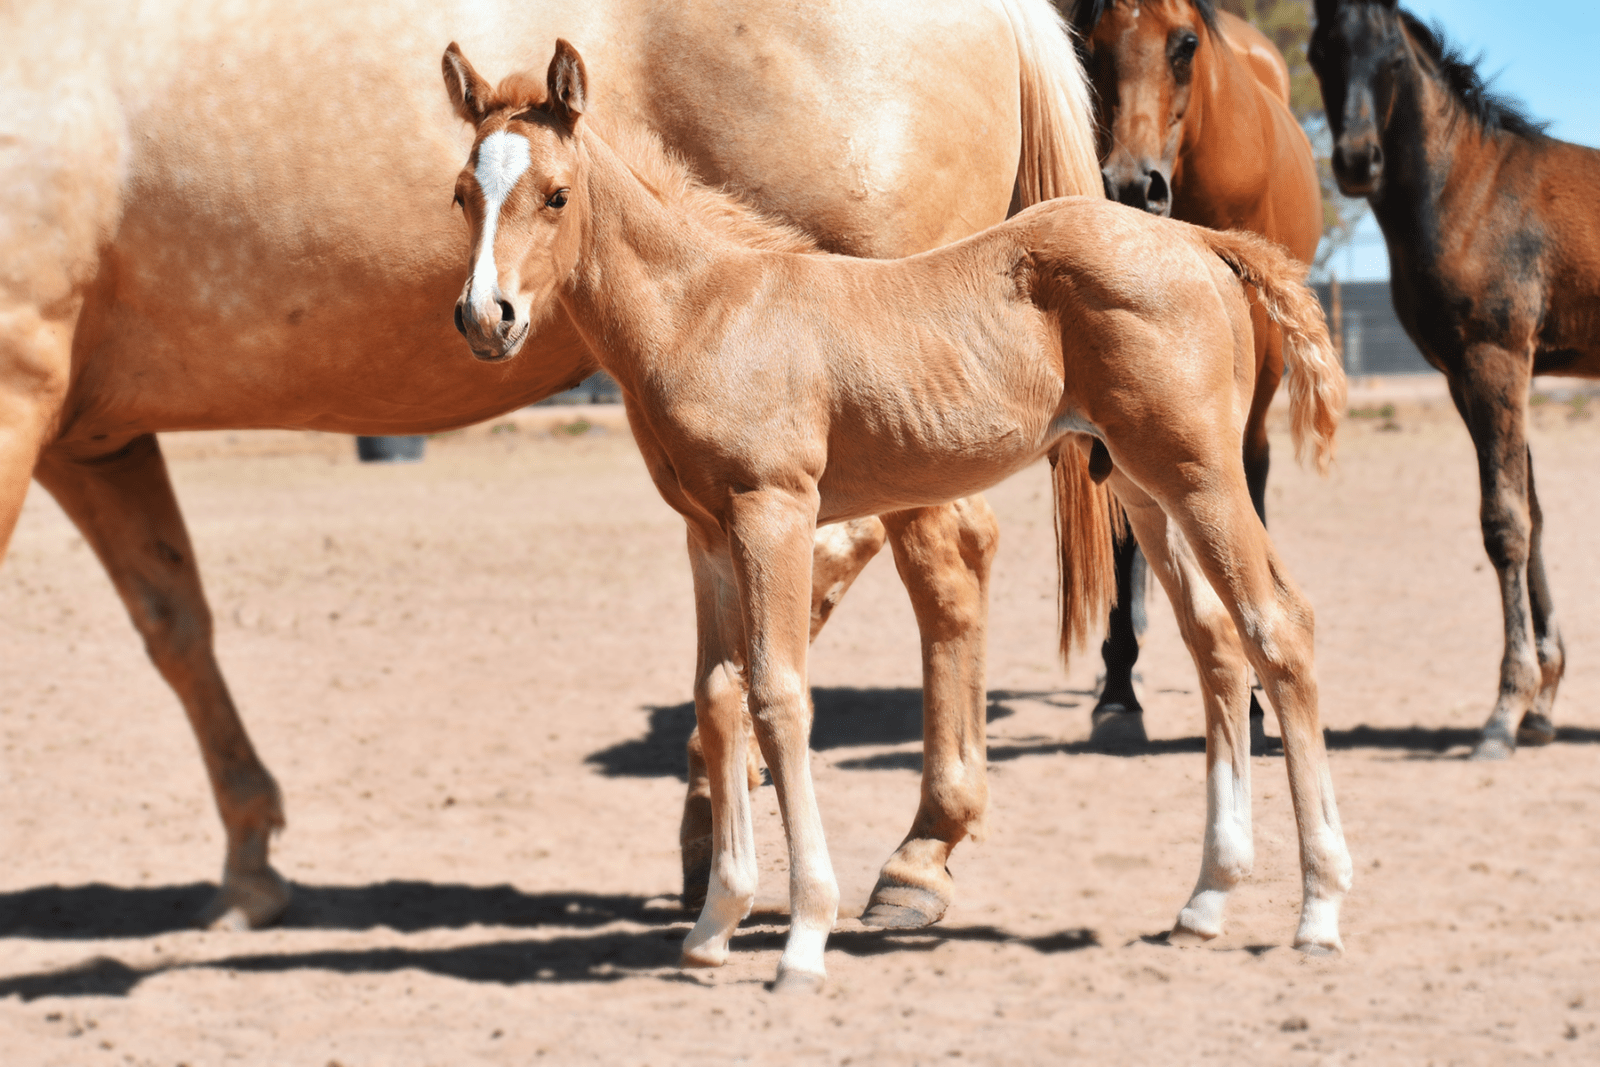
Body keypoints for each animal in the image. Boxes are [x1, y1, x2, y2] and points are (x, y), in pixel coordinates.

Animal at [0, 0, 1101, 932]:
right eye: (457, 193)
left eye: (553, 193)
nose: (482, 313)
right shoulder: (92, 438)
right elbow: (176, 623)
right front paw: (250, 861)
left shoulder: (19, 393)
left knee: (943, 559)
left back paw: (914, 853)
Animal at [1307, 0, 1600, 759]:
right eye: (1321, 53)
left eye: (1393, 59)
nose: (1356, 161)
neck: (1469, 189)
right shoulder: (1463, 376)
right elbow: (1533, 513)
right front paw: (1541, 707)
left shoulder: (1497, 360)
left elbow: (1505, 523)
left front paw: (1503, 712)